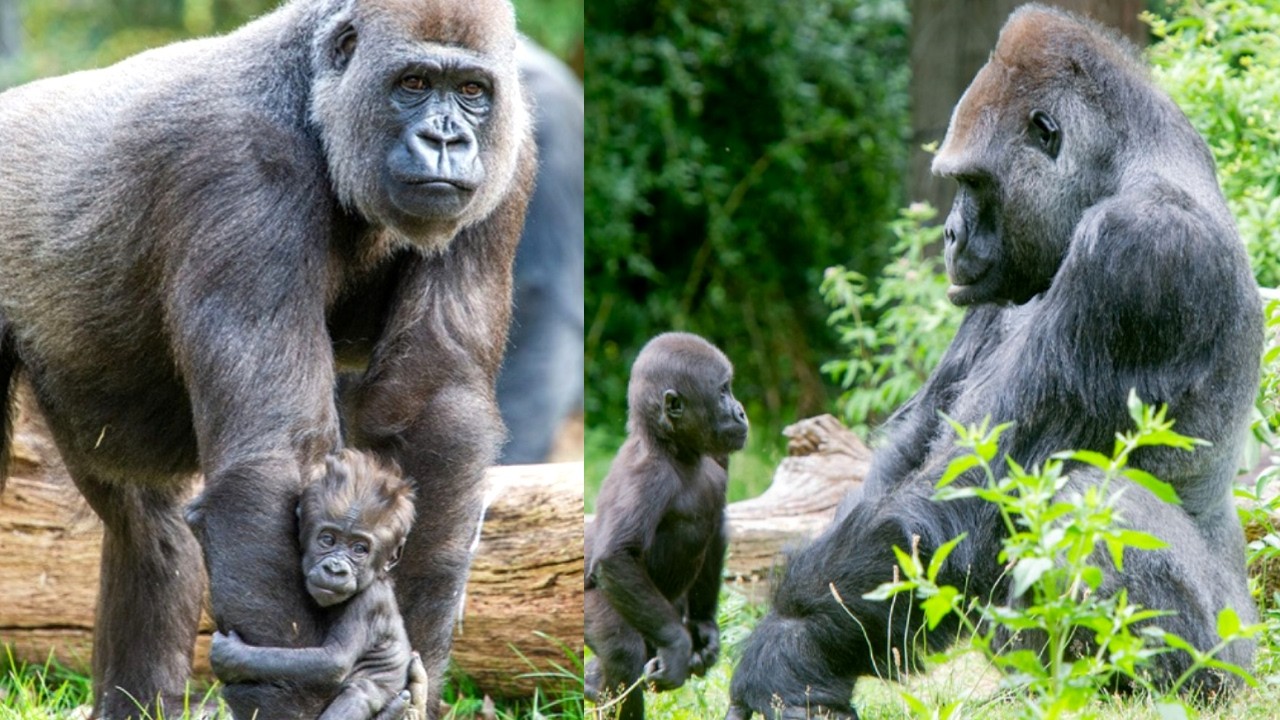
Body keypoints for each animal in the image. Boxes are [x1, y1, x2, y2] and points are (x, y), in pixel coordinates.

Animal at [585, 332, 749, 720]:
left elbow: (716, 530)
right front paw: (677, 648)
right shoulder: (647, 476)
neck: (673, 448)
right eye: (722, 392)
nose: (740, 411)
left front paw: (704, 629)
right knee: (624, 654)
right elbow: (615, 556)